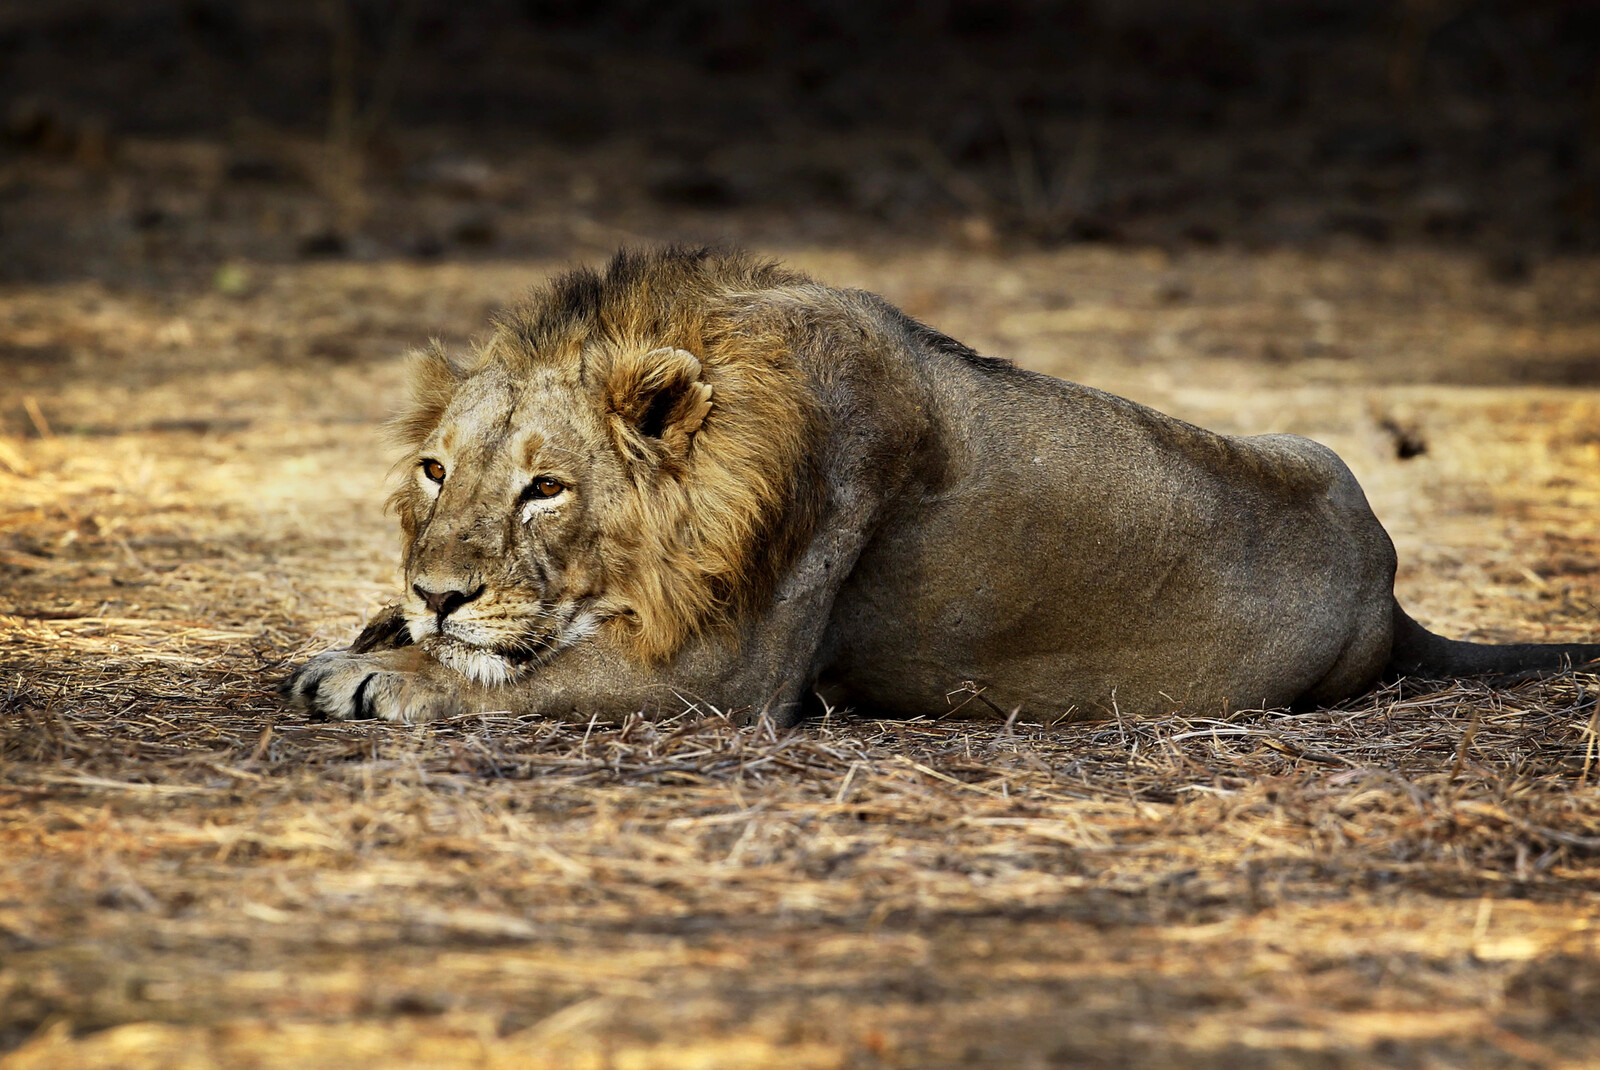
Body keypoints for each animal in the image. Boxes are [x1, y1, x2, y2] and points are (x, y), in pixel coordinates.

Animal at [280, 246, 1600, 726]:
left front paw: (383, 669)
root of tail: (1390, 588)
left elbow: (524, 676)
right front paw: (379, 626)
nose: (436, 590)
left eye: (545, 488)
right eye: (435, 469)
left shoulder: (727, 674)